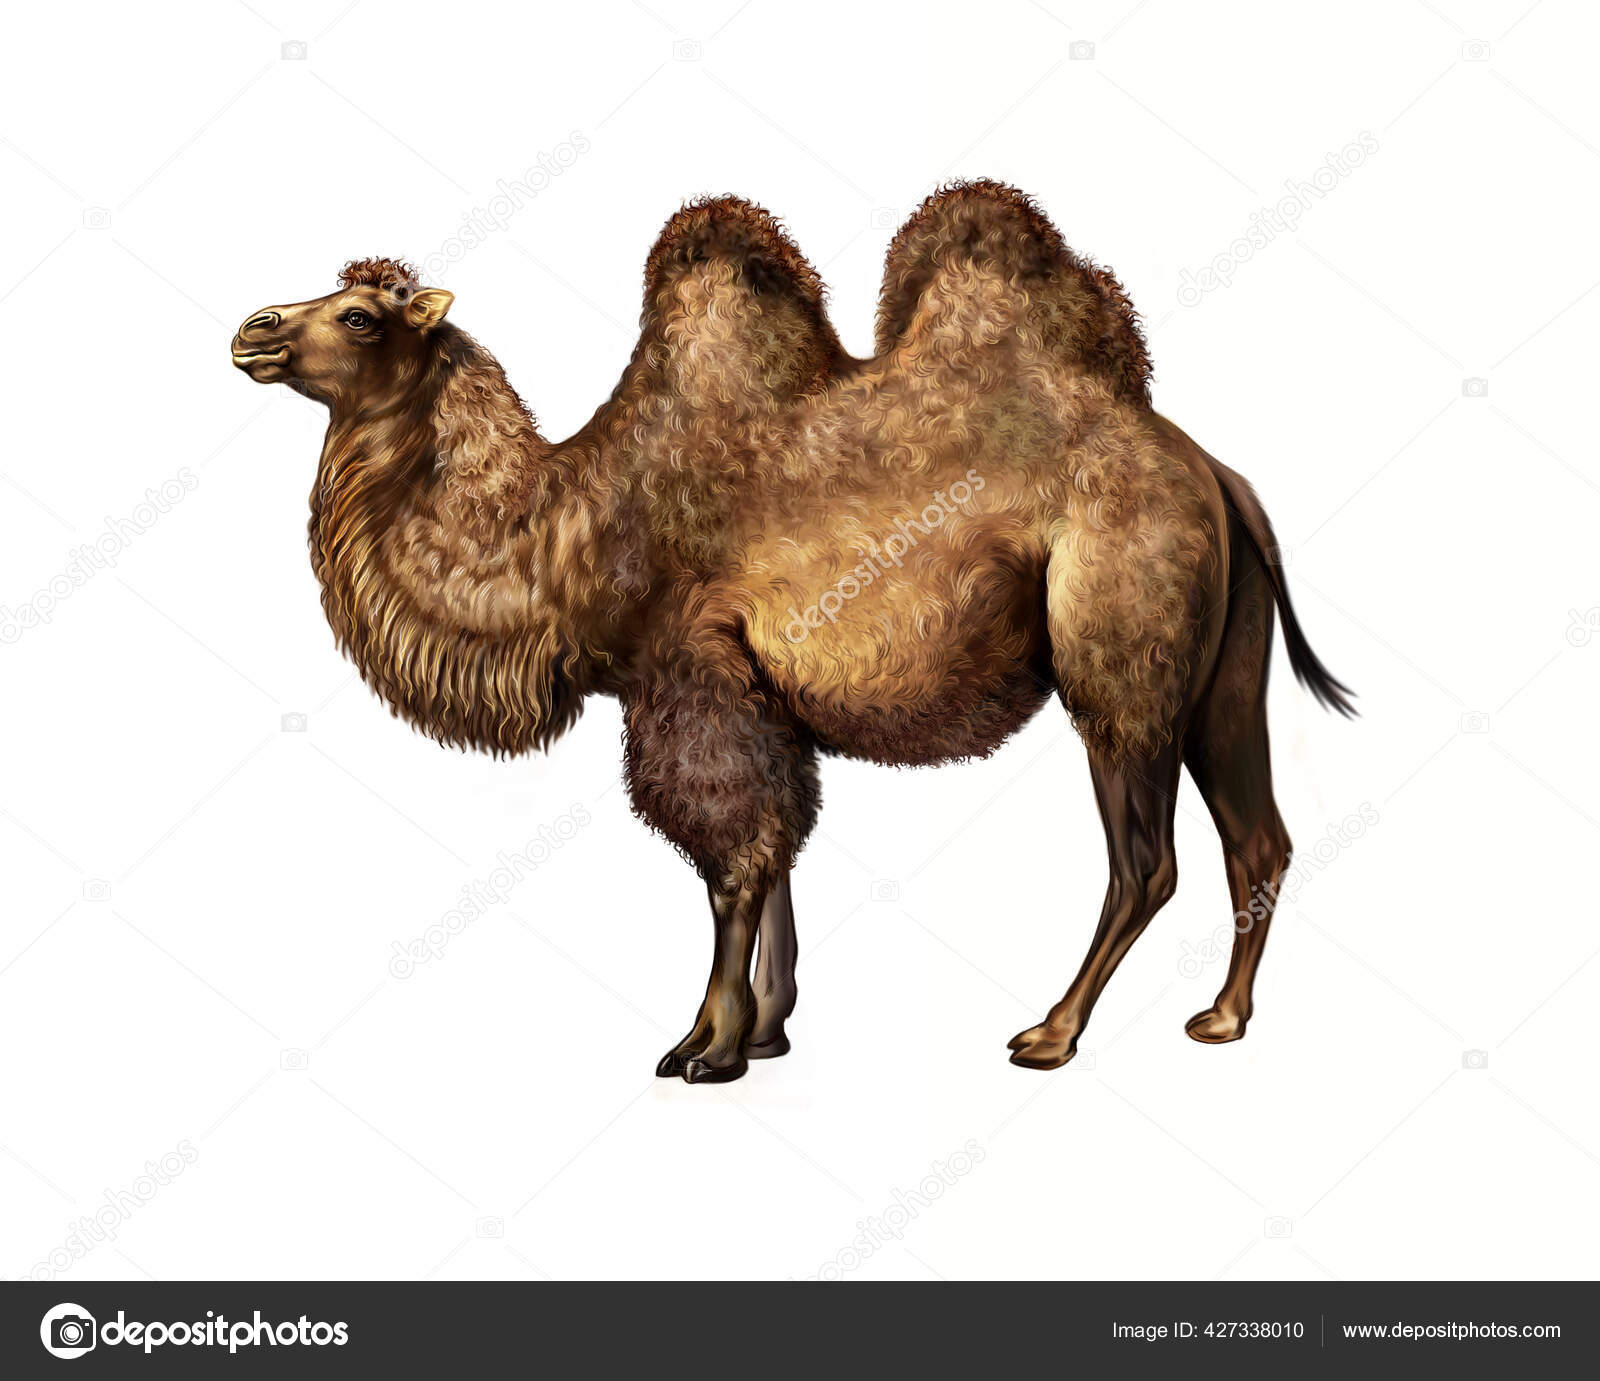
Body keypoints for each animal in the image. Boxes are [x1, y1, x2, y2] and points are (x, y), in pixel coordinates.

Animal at [230, 181, 1352, 1084]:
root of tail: (1215, 473)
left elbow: (731, 862)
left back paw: (1050, 1032)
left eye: (361, 315)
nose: (253, 329)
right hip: (1219, 673)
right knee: (1257, 835)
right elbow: (776, 853)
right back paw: (1221, 1019)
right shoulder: (760, 697)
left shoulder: (688, 673)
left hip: (1119, 659)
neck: (564, 528)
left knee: (1145, 859)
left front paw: (706, 1048)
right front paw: (766, 1031)